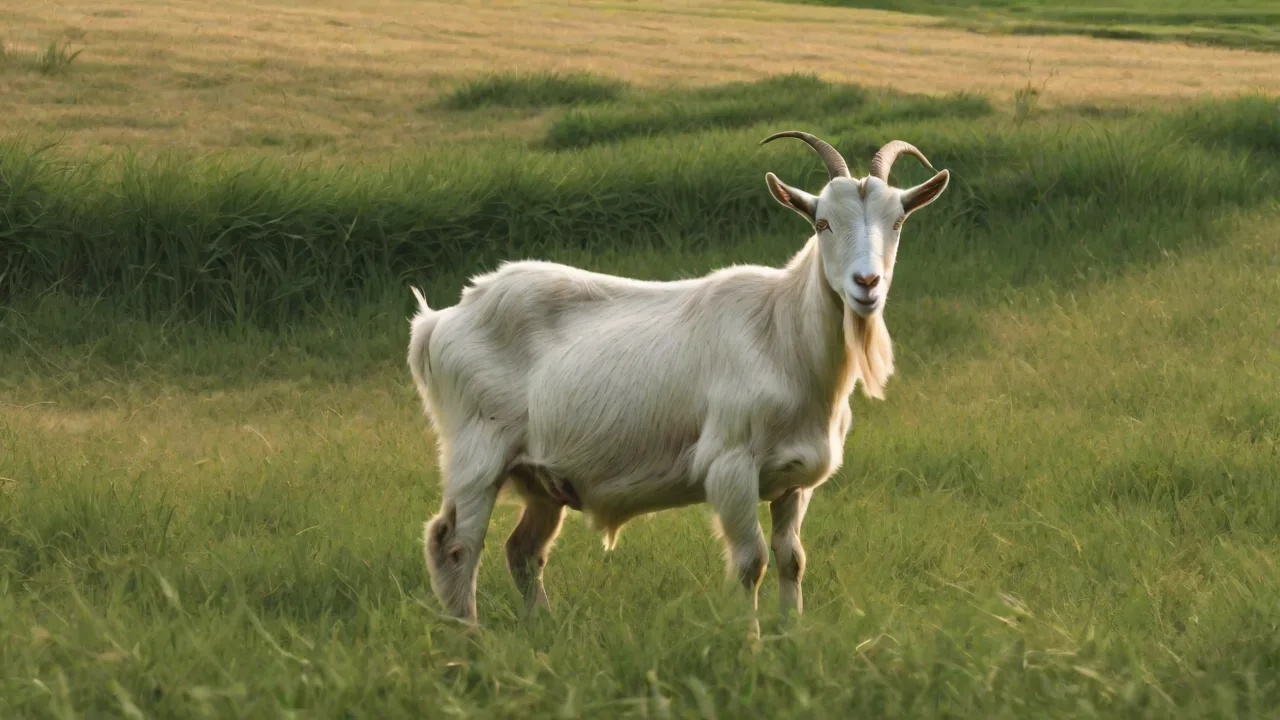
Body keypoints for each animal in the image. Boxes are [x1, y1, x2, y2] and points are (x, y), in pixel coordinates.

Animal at [407, 134, 950, 632]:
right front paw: (750, 645)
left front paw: (790, 634)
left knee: (522, 550)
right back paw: (469, 641)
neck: (781, 333)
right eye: (822, 223)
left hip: (541, 477)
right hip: (477, 452)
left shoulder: (793, 482)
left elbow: (792, 558)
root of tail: (439, 322)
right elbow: (750, 562)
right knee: (454, 545)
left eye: (897, 221)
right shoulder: (730, 465)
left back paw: (543, 628)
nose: (866, 284)